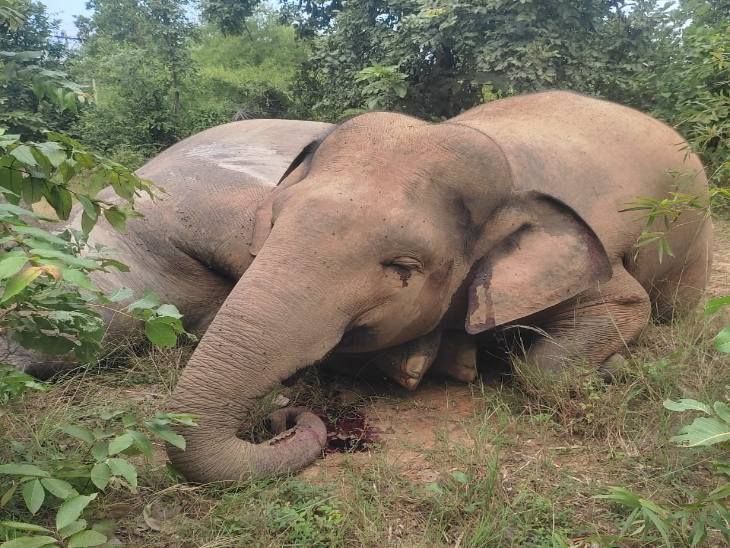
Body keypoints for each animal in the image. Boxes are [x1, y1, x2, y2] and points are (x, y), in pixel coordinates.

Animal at [11, 91, 712, 484]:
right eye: (273, 223)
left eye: (403, 266)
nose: (283, 417)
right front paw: (427, 360)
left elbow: (622, 304)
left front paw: (611, 370)